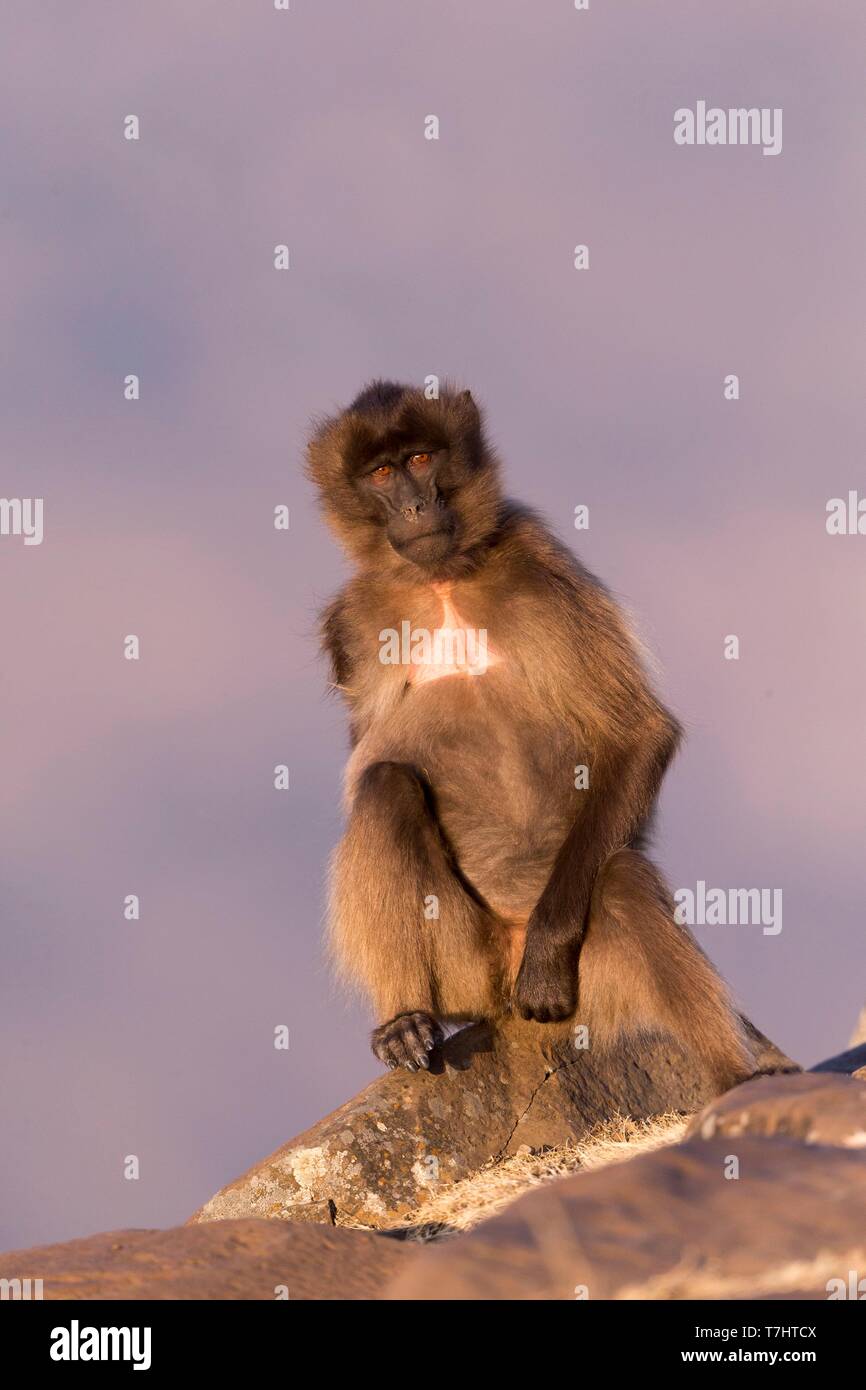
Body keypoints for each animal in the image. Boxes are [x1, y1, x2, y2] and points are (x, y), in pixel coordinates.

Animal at [306, 379, 763, 1092]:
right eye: (380, 472)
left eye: (421, 458)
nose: (414, 505)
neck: (443, 582)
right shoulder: (356, 622)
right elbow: (371, 762)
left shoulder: (538, 569)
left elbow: (639, 732)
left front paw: (548, 953)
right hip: (466, 968)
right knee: (385, 789)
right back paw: (406, 1017)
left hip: (588, 982)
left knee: (621, 878)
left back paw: (734, 1081)